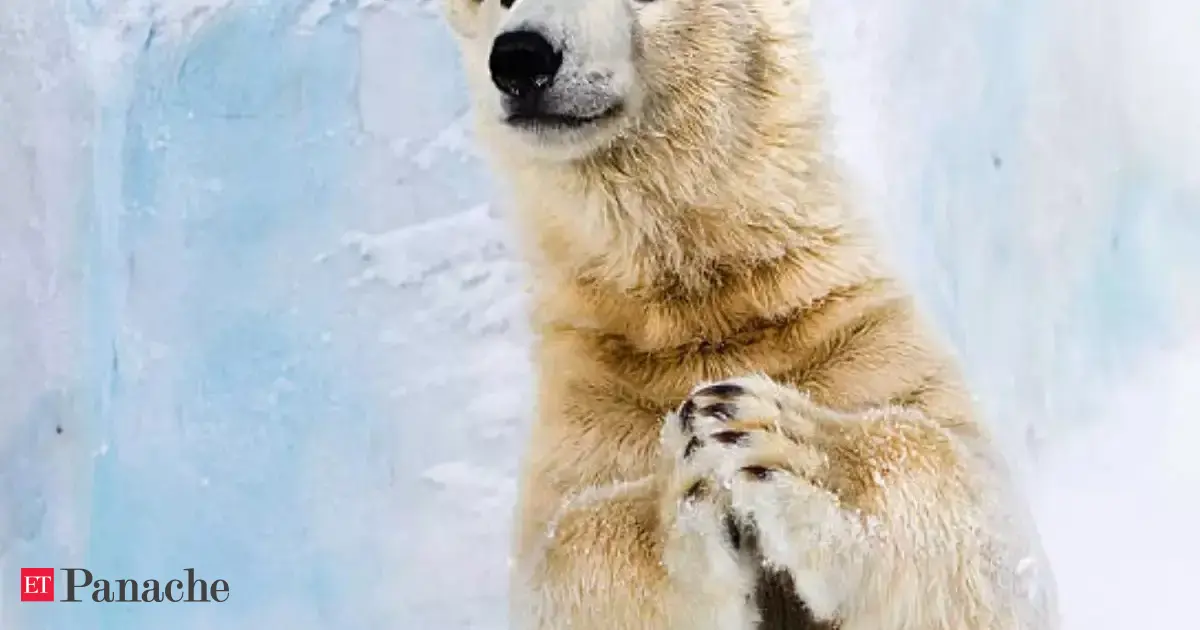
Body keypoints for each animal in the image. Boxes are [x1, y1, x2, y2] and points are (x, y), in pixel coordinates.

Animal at [439, 0, 1060, 627]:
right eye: (499, 1)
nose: (521, 59)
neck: (705, 301)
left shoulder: (861, 342)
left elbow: (988, 530)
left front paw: (780, 438)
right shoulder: (595, 407)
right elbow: (565, 554)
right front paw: (681, 485)